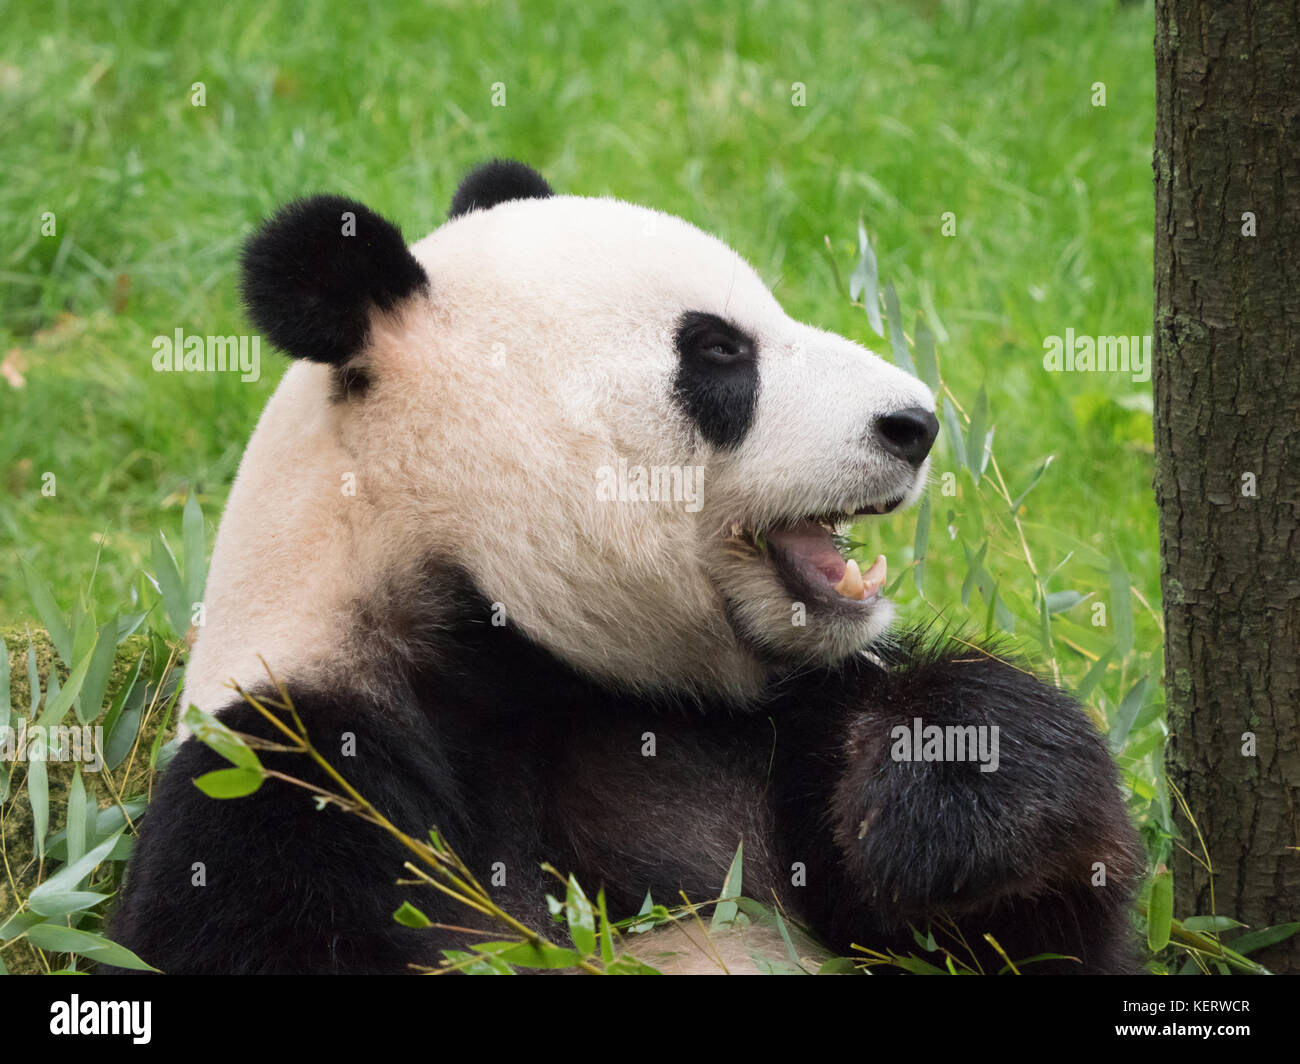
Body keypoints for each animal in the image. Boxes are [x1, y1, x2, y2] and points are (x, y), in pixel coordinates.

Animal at [109, 159, 1141, 975]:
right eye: (720, 350)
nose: (915, 424)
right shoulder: (289, 775)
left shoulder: (757, 737)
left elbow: (1022, 927)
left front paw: (953, 802)